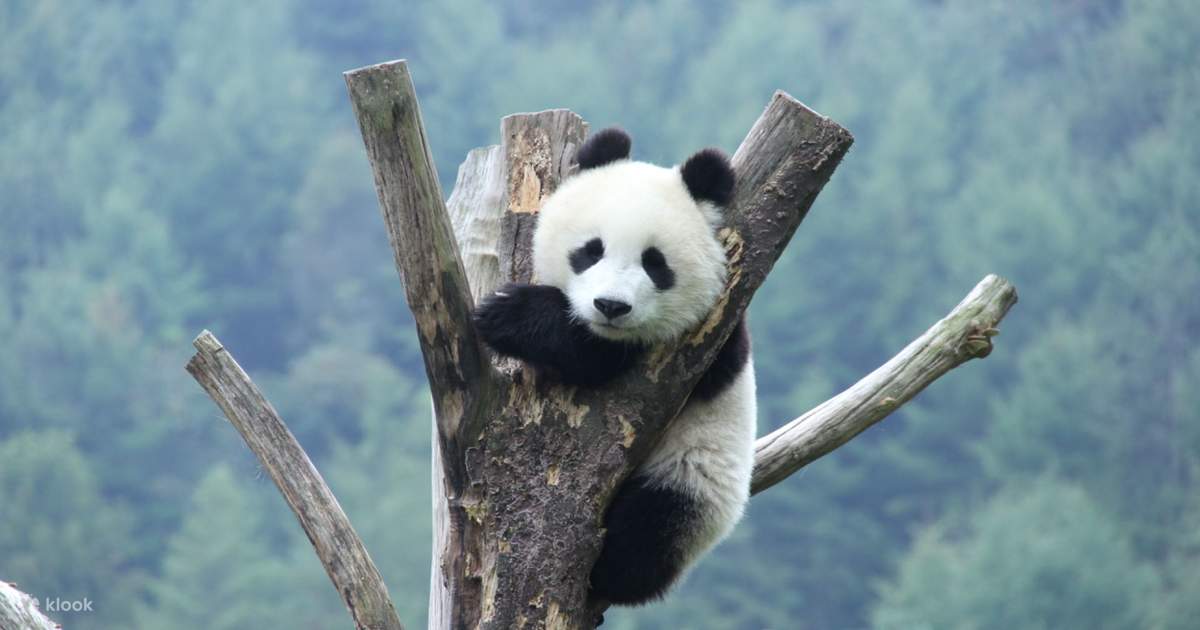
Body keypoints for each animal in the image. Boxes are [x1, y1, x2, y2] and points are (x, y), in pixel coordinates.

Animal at [473, 127, 756, 607]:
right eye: (591, 251)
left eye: (656, 264)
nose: (610, 306)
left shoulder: (712, 339)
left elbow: (598, 358)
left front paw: (509, 314)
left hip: (696, 479)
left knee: (653, 527)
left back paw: (610, 571)